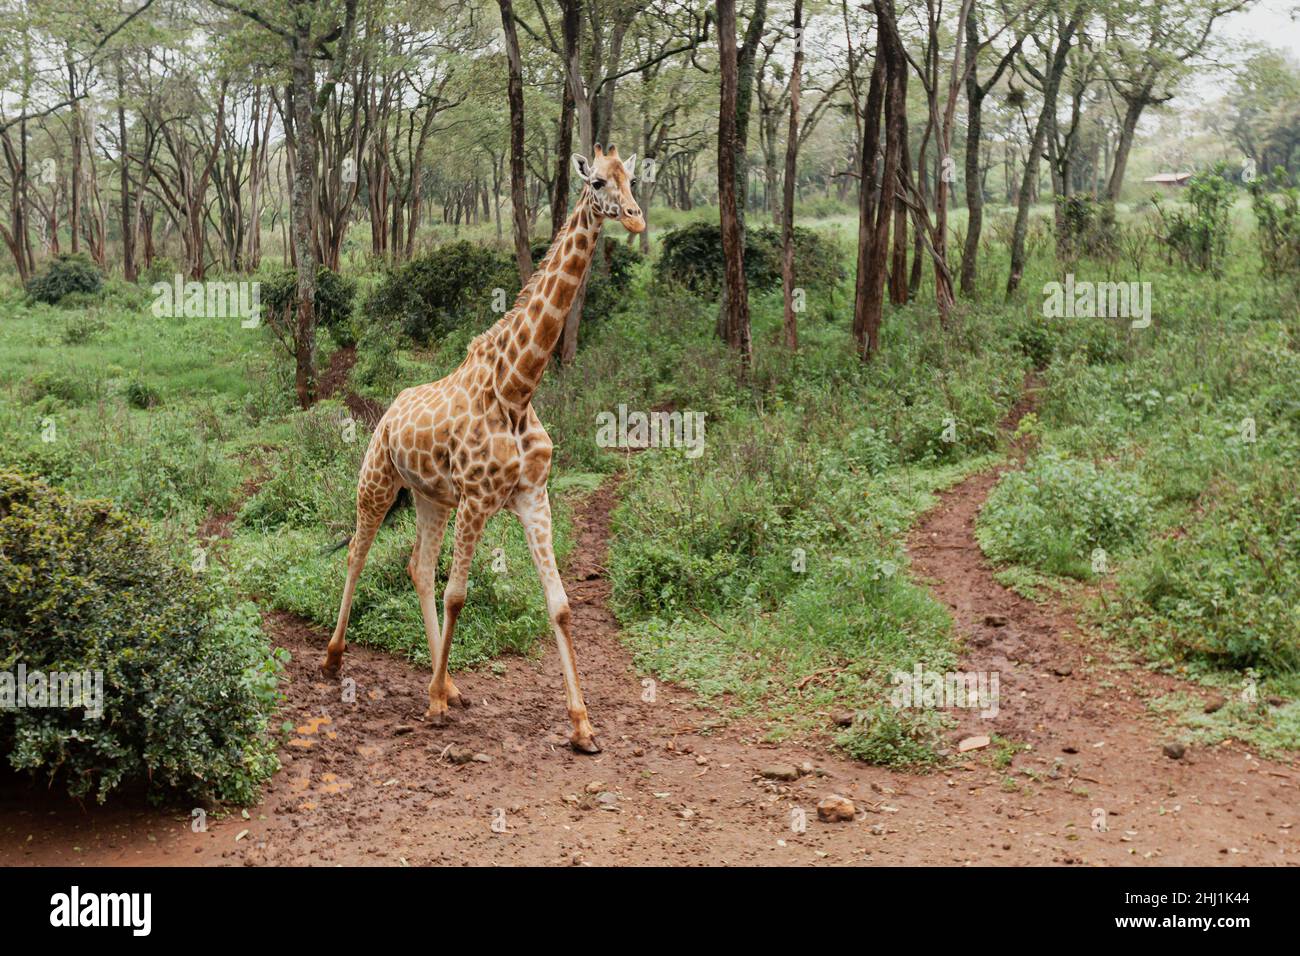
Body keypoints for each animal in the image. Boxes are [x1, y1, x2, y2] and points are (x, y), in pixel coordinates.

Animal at [321, 145, 644, 754]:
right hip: (378, 481)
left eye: (633, 179)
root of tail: (388, 412)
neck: (517, 388)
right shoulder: (477, 498)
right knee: (357, 552)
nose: (636, 218)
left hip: (431, 498)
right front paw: (432, 705)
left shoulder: (532, 496)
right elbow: (459, 595)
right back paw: (335, 660)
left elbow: (560, 606)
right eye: (596, 182)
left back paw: (448, 684)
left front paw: (582, 726)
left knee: (417, 567)